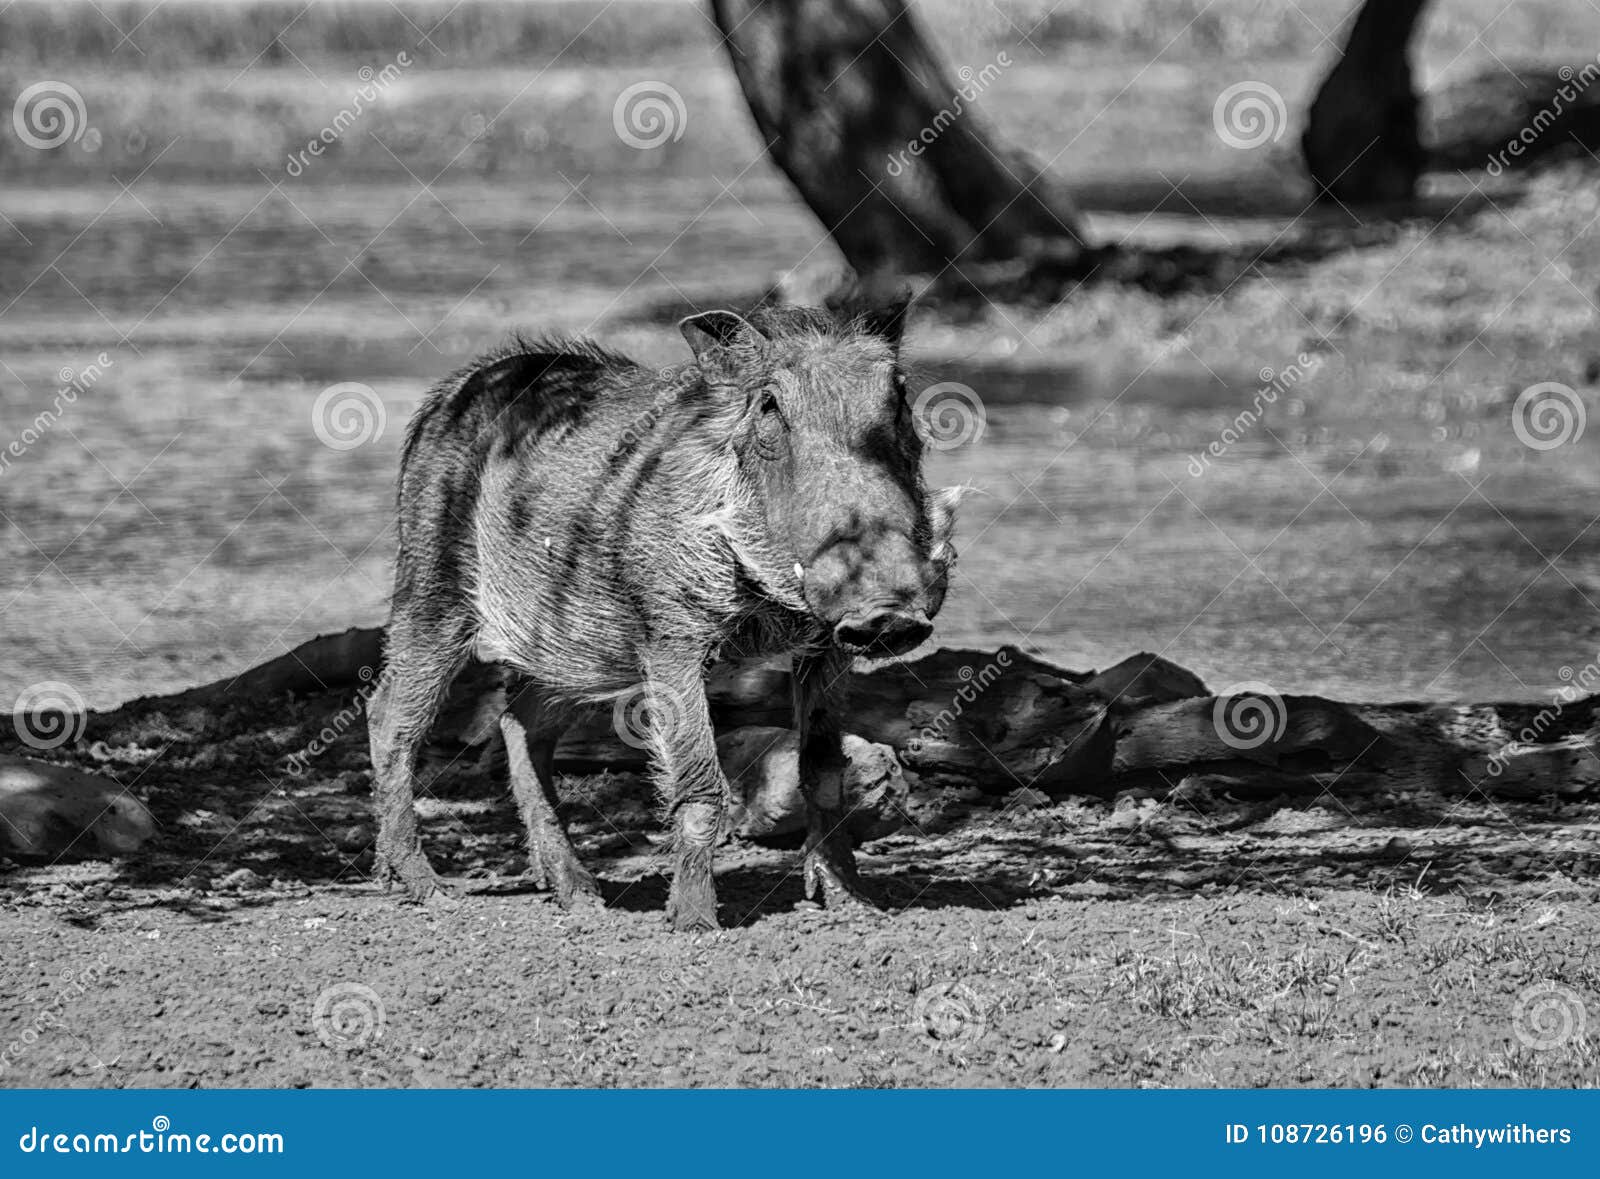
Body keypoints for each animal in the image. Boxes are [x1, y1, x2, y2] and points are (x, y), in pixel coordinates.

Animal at [367, 299, 960, 931]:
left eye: (900, 397)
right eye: (769, 405)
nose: (888, 612)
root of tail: (455, 390)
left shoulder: (826, 653)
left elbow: (823, 773)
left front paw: (853, 903)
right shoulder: (671, 643)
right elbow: (700, 787)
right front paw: (695, 923)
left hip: (577, 649)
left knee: (519, 725)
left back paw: (577, 894)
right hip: (434, 593)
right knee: (391, 719)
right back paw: (427, 888)